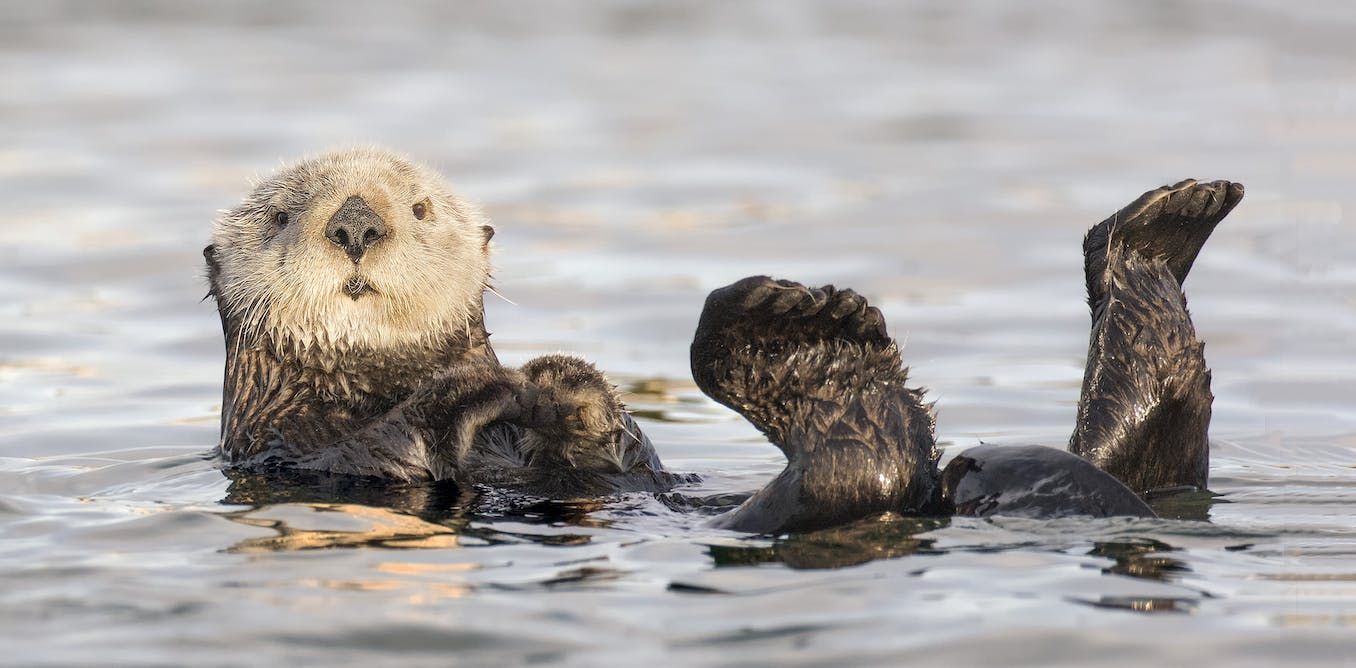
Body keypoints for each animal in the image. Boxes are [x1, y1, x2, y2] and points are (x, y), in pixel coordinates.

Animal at [205, 147, 1241, 534]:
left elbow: (613, 441)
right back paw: (804, 336)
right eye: (285, 213)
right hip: (825, 490)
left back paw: (1162, 228)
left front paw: (563, 389)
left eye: (419, 208)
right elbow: (383, 448)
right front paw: (493, 390)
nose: (355, 224)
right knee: (859, 460)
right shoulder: (290, 448)